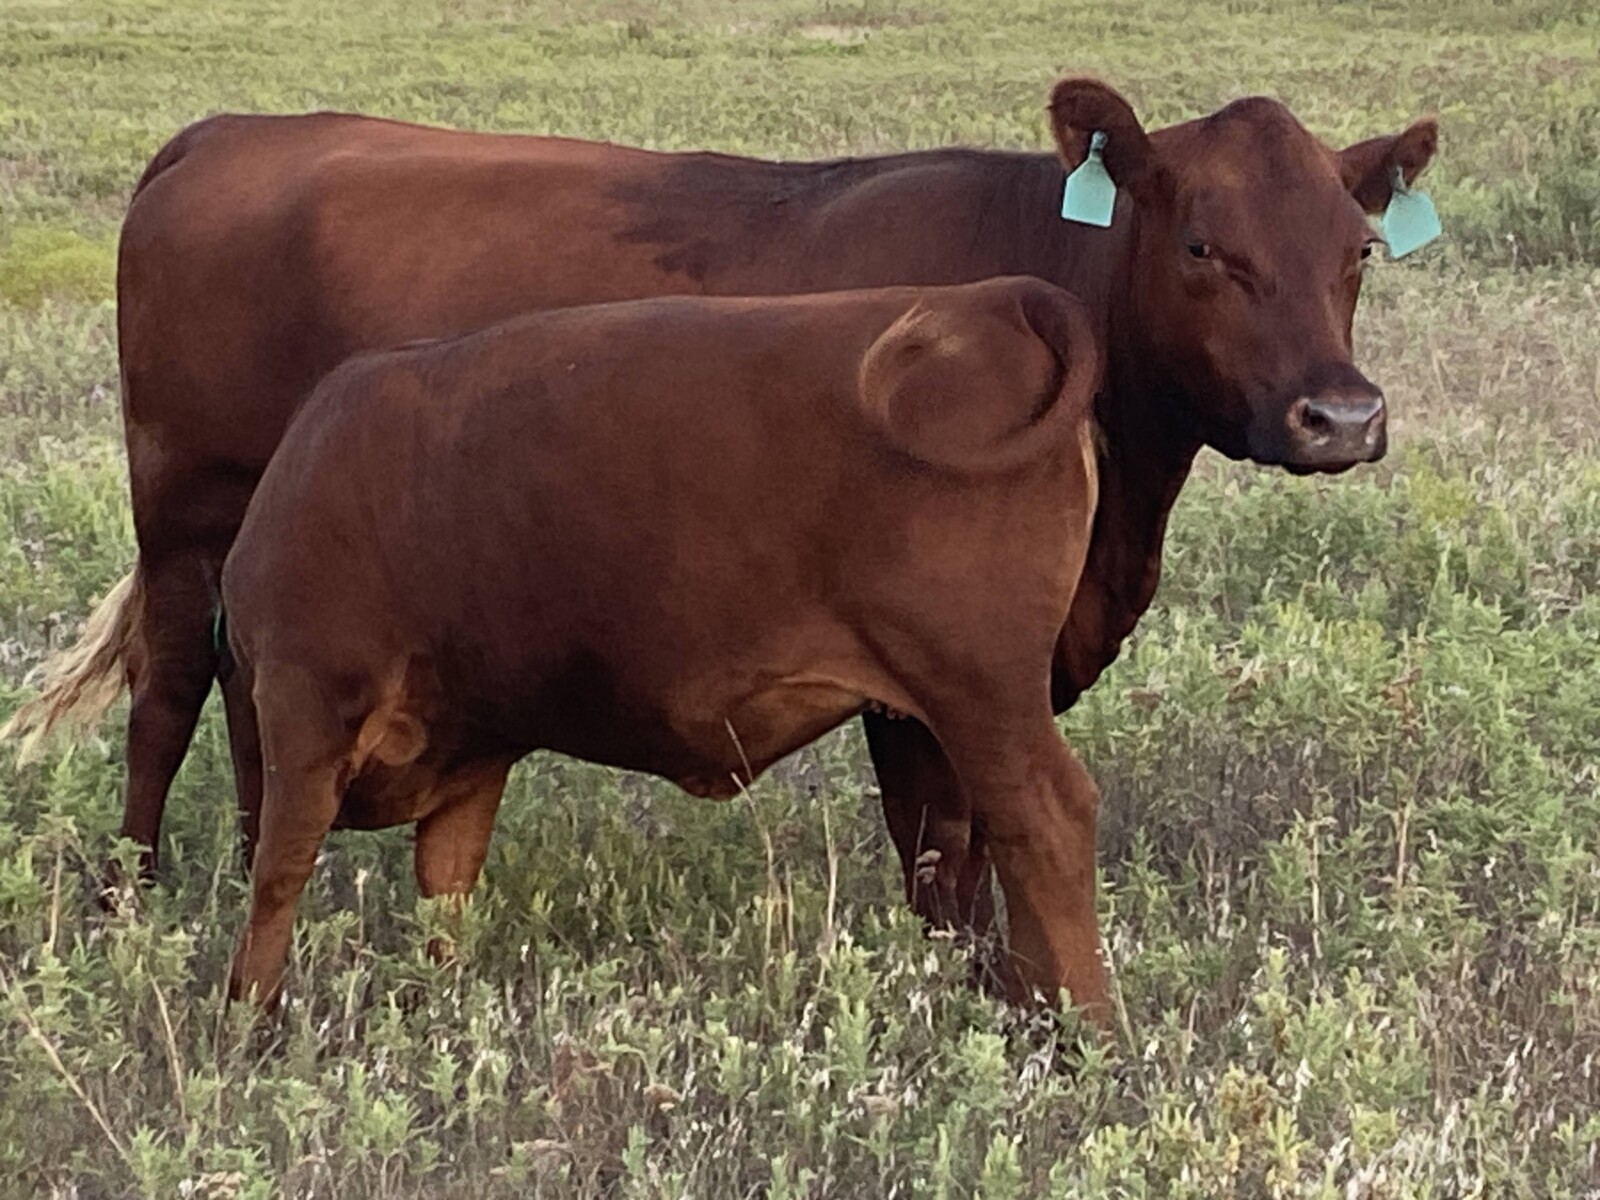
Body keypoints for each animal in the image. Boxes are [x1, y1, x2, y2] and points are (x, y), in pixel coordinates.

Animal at [220, 277, 1104, 1011]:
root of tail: (988, 299)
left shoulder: (305, 700)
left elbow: (276, 876)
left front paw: (245, 1029)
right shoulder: (470, 753)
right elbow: (445, 896)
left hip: (978, 687)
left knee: (1045, 821)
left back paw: (1082, 1029)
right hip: (950, 704)